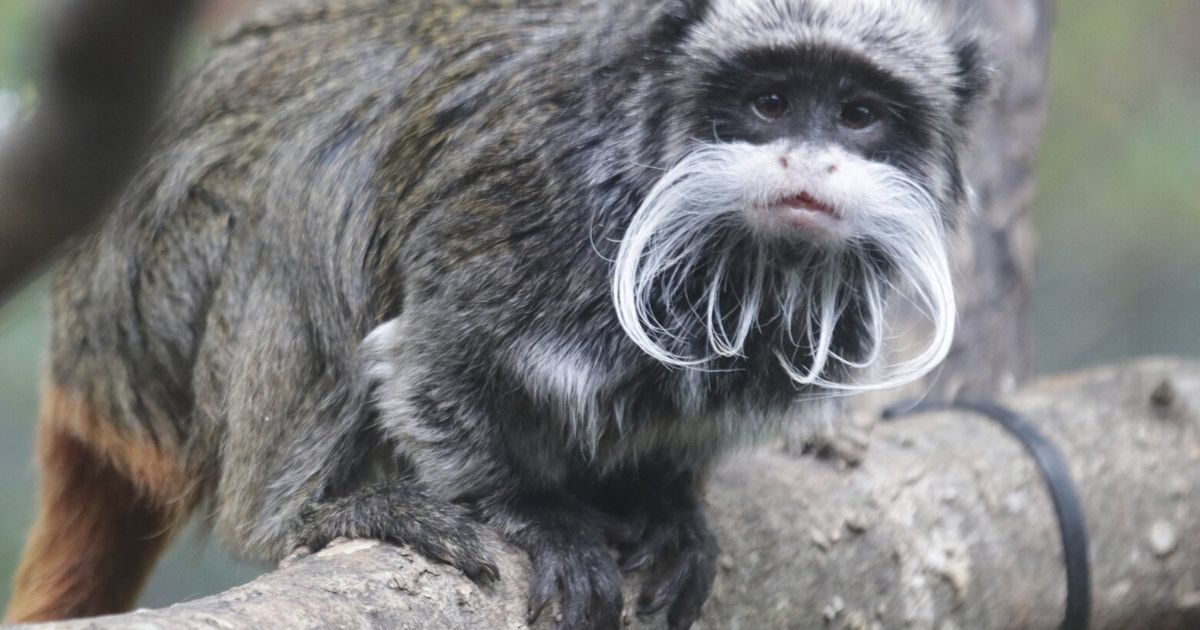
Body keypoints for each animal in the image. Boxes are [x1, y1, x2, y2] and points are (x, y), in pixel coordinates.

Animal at [5, 0, 989, 627]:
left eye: (858, 114)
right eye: (769, 101)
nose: (808, 162)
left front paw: (666, 501)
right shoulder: (532, 210)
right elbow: (428, 366)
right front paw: (535, 513)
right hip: (149, 305)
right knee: (309, 188)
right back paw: (307, 514)